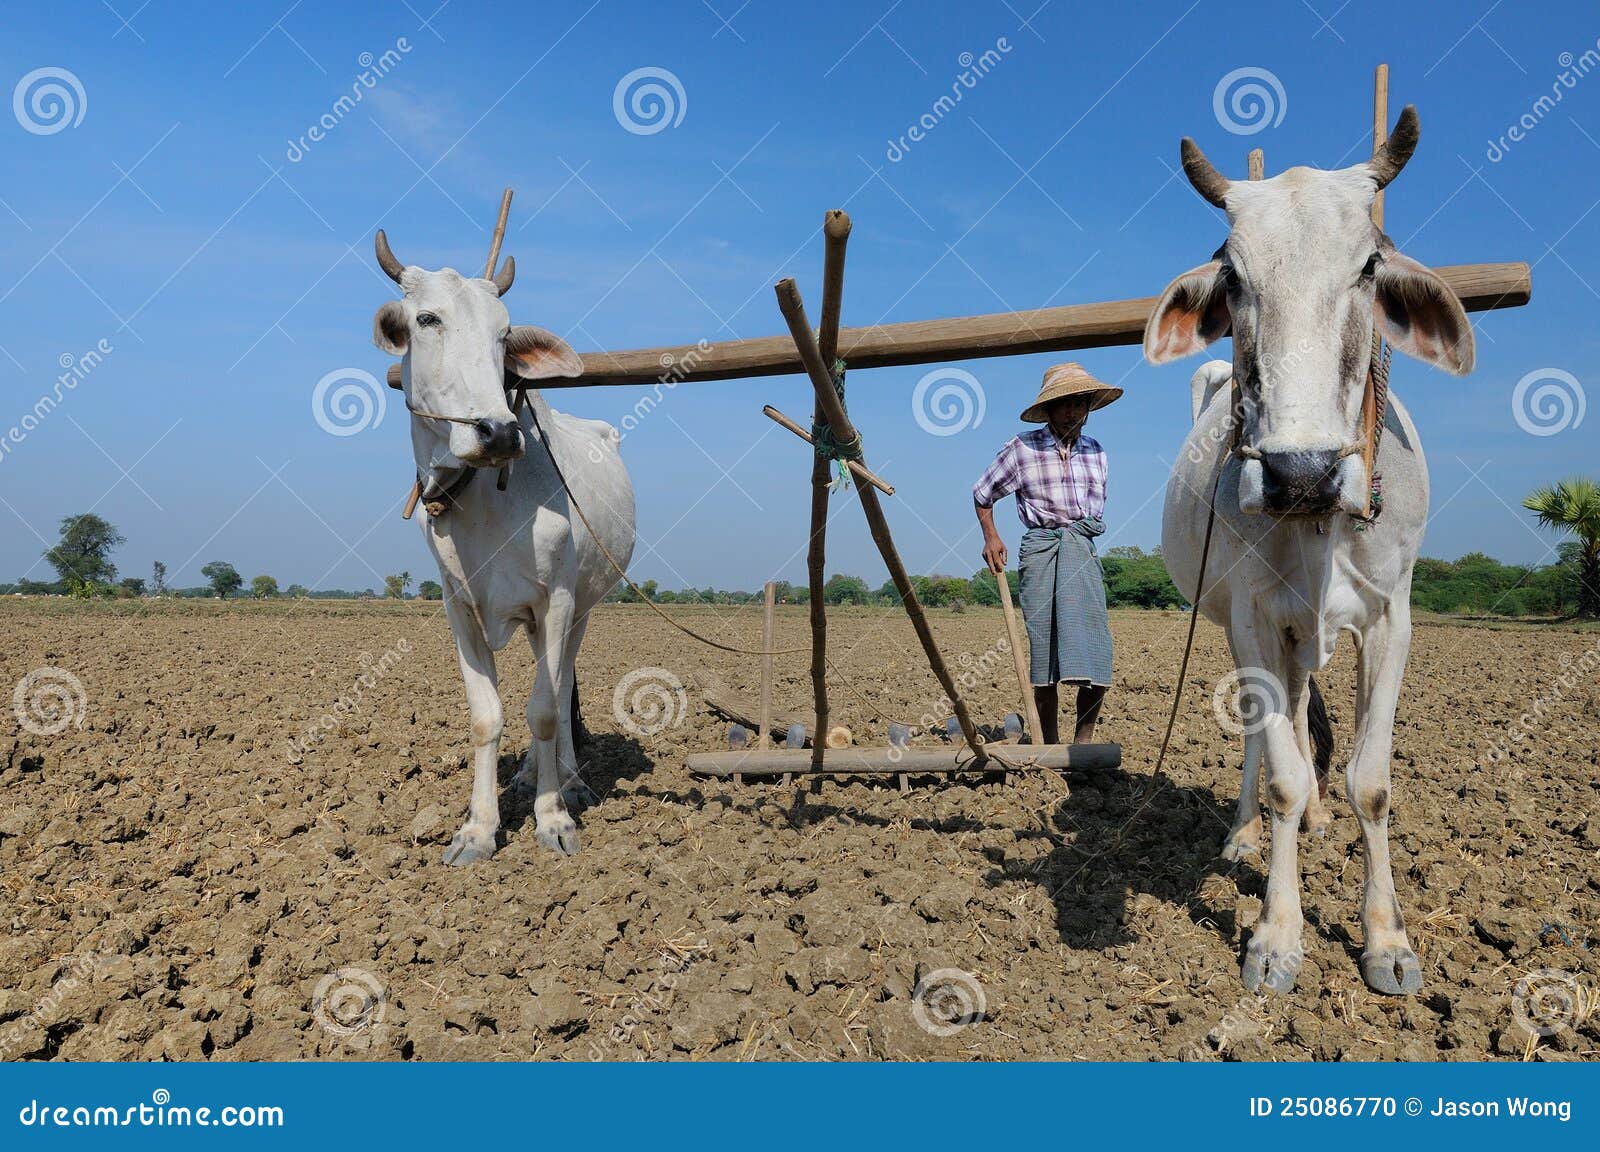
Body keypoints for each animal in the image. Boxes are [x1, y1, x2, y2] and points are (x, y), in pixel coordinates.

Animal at [372, 231, 636, 864]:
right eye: (427, 318)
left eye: (503, 333)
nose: (498, 432)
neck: (484, 500)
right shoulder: (459, 608)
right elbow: (486, 717)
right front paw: (478, 827)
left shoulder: (557, 600)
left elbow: (544, 708)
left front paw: (553, 818)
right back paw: (528, 777)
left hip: (581, 608)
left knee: (561, 682)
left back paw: (566, 779)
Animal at [1144, 107, 1475, 995]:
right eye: (1232, 278)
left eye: (1369, 265)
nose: (1302, 471)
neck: (1320, 524)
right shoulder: (1255, 620)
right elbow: (1286, 773)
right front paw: (1276, 934)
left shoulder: (1392, 620)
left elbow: (1373, 782)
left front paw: (1387, 940)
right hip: (1244, 630)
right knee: (1269, 737)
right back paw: (1243, 834)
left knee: (1298, 717)